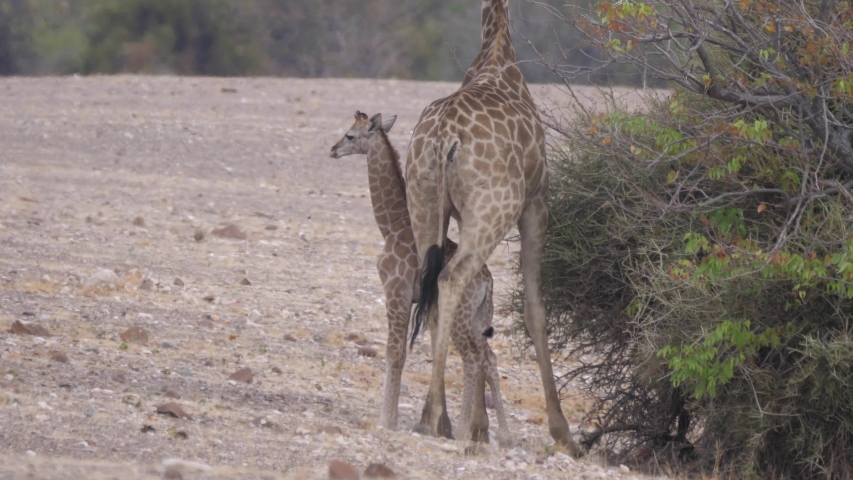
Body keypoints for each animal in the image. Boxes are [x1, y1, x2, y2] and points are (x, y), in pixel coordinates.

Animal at [329, 111, 511, 446]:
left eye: (350, 135)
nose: (333, 150)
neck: (392, 225)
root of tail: (488, 283)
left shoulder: (396, 291)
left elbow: (395, 353)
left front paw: (386, 420)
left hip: (461, 315)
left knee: (472, 358)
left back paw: (463, 431)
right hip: (481, 315)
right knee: (489, 358)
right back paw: (505, 435)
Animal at [404, 0, 581, 455]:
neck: (497, 46)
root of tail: (443, 137)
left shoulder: (456, 214)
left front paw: (479, 425)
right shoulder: (536, 204)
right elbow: (535, 309)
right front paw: (563, 432)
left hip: (424, 204)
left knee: (429, 287)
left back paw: (439, 418)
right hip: (494, 209)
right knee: (450, 280)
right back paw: (433, 416)